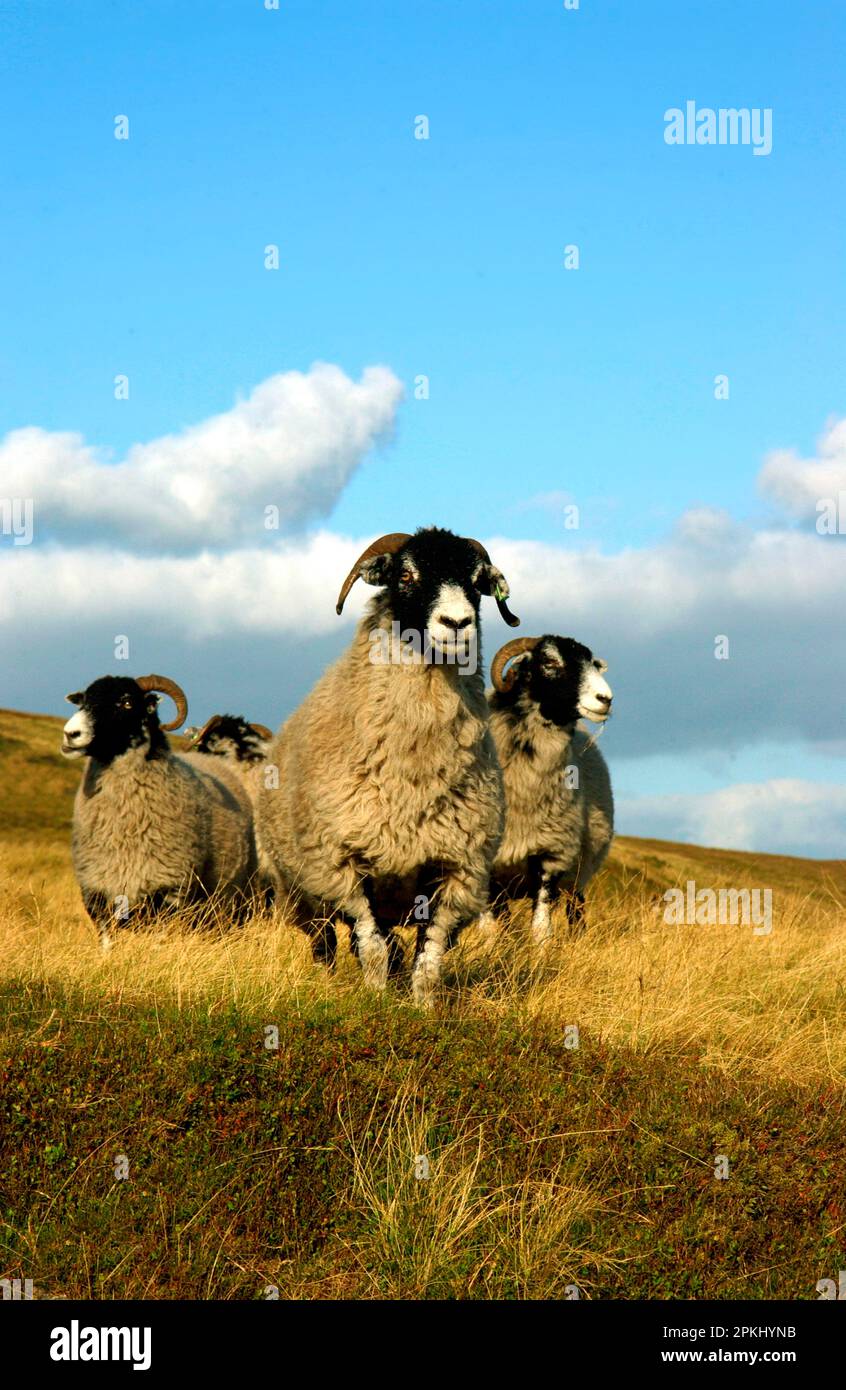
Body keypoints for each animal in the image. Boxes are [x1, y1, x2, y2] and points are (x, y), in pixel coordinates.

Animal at [62, 675, 258, 949]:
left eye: (127, 702)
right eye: (84, 701)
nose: (71, 734)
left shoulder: (168, 889)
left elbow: (159, 938)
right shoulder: (97, 889)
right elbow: (107, 941)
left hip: (232, 896)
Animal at [256, 526, 520, 1004]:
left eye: (477, 582)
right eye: (406, 576)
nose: (457, 624)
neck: (414, 775)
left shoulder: (454, 872)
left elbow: (428, 961)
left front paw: (421, 1008)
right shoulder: (343, 866)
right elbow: (372, 946)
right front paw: (376, 1001)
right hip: (302, 892)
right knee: (326, 942)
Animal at [485, 635, 614, 944]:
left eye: (592, 663)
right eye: (550, 661)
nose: (605, 699)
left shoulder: (552, 854)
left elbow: (542, 925)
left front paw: (542, 950)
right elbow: (491, 925)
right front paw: (490, 947)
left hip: (579, 873)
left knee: (576, 910)